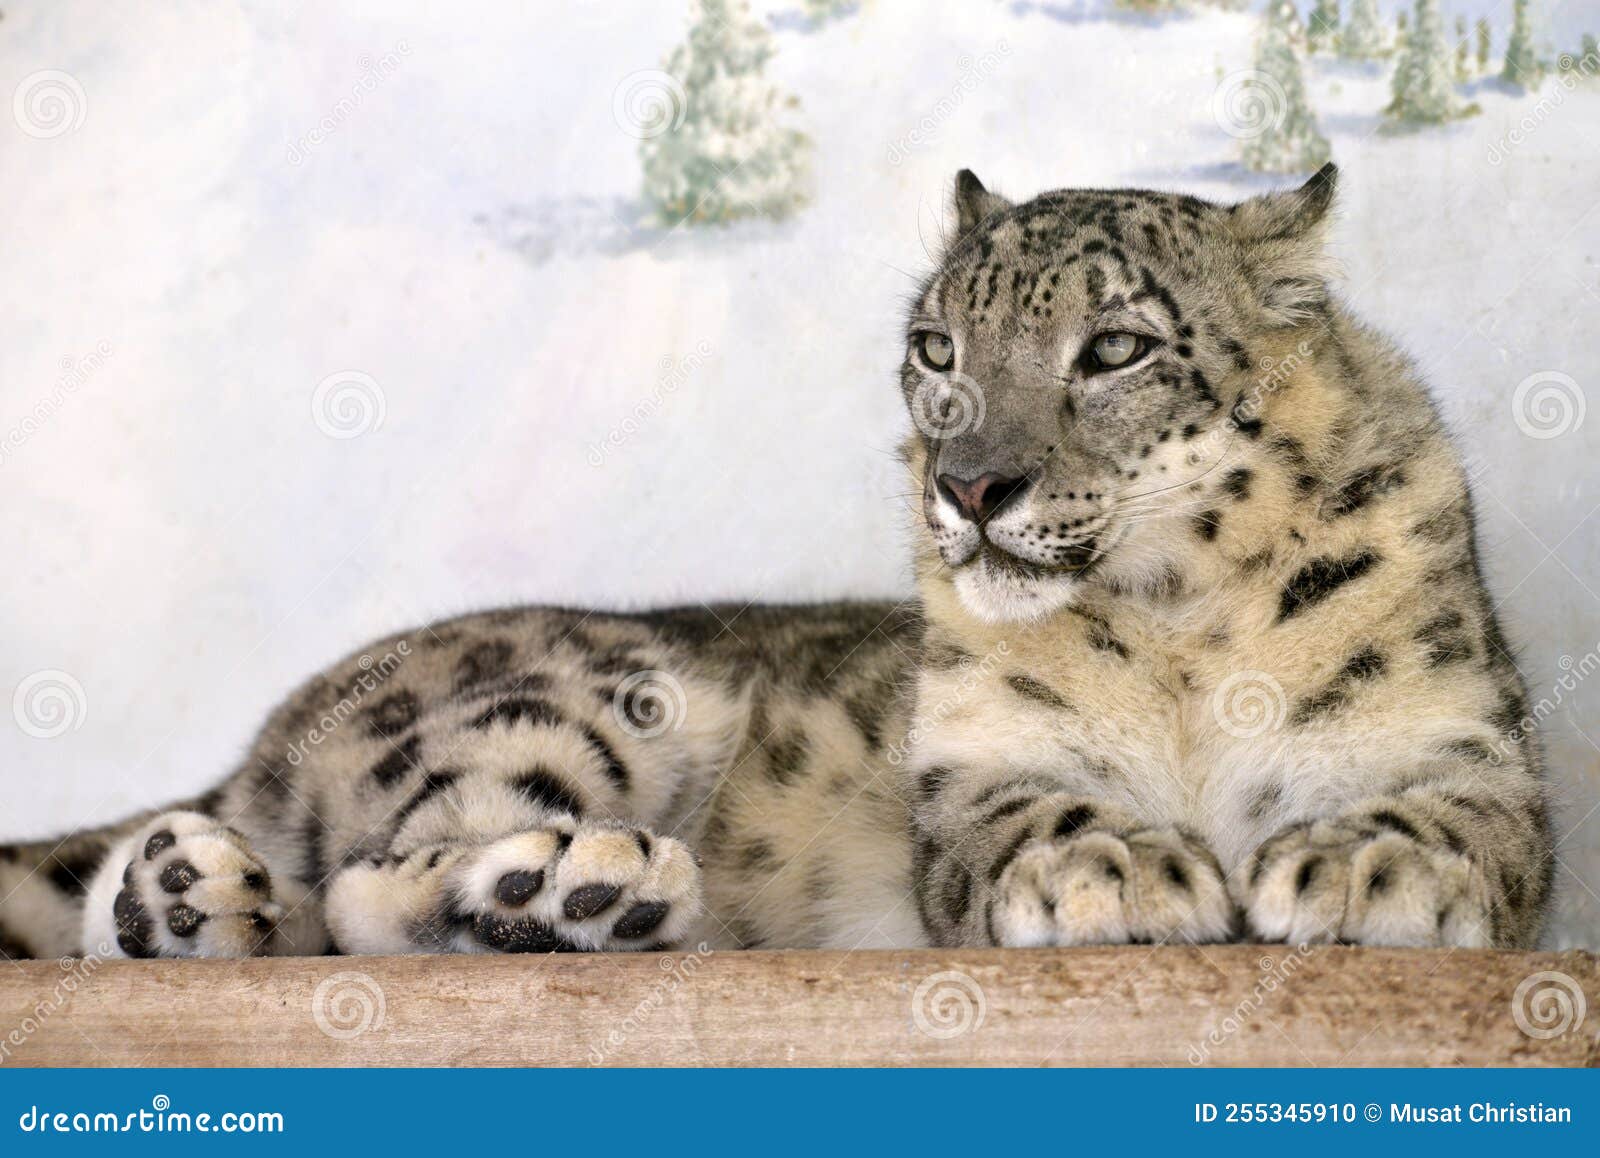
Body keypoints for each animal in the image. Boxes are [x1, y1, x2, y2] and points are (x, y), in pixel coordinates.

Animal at [0, 164, 1552, 961]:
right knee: (370, 879)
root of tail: (269, 739)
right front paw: (1118, 862)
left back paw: (186, 901)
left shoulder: (1463, 741)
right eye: (936, 347)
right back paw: (565, 887)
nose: (966, 484)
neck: (1179, 630)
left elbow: (1470, 820)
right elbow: (1033, 815)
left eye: (1115, 345)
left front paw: (1359, 861)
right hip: (567, 701)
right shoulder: (979, 771)